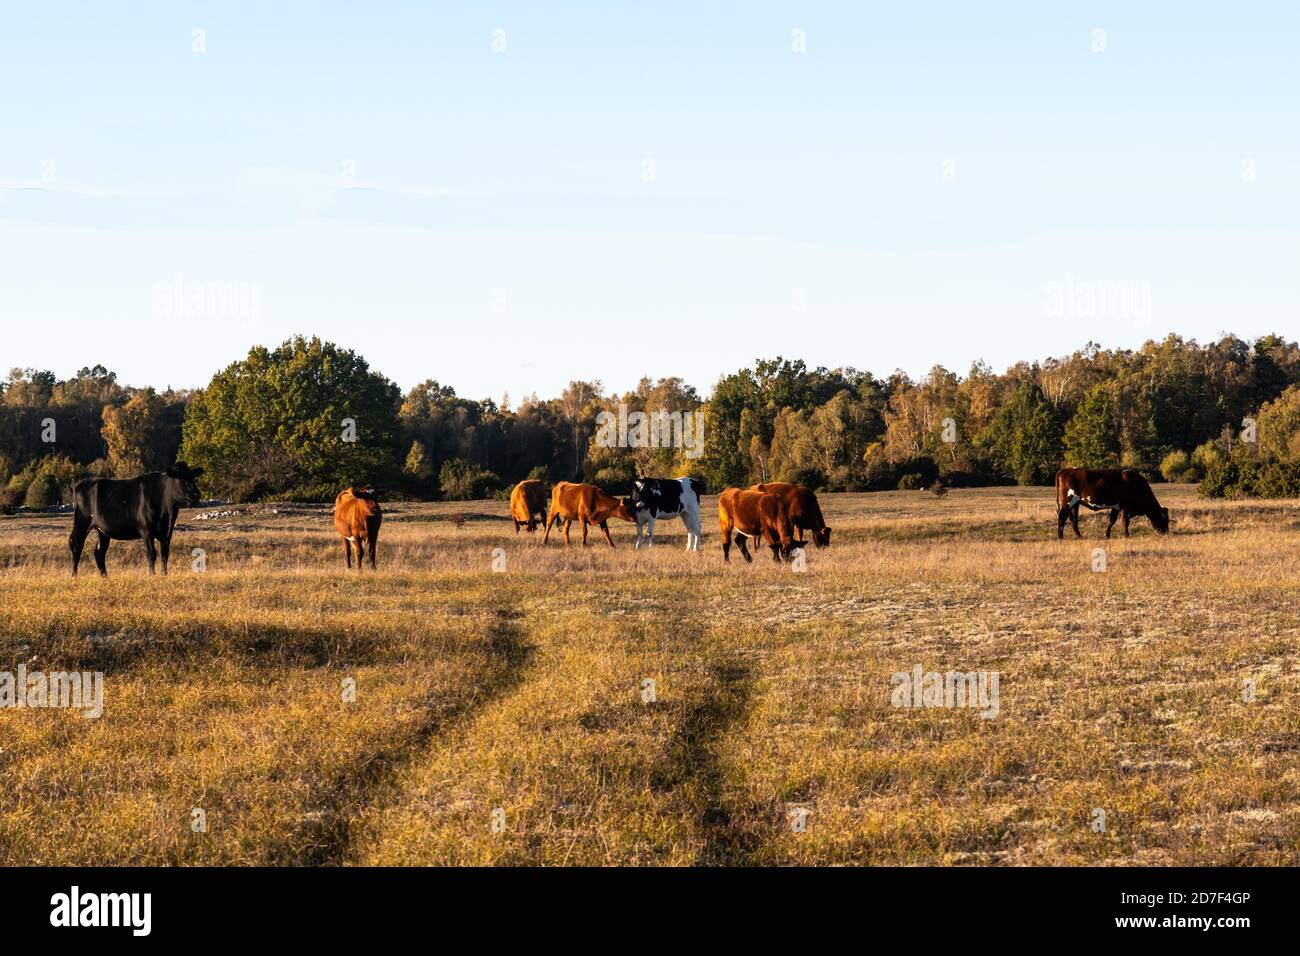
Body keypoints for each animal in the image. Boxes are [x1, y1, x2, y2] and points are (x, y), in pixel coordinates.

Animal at [69, 462, 204, 577]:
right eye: (181, 478)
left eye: (193, 477)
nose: (197, 494)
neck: (167, 511)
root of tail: (79, 484)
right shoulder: (146, 530)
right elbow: (151, 553)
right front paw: (152, 575)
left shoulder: (167, 532)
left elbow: (165, 554)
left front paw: (165, 574)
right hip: (82, 522)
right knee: (76, 546)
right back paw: (74, 576)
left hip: (102, 530)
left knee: (99, 552)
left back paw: (105, 577)